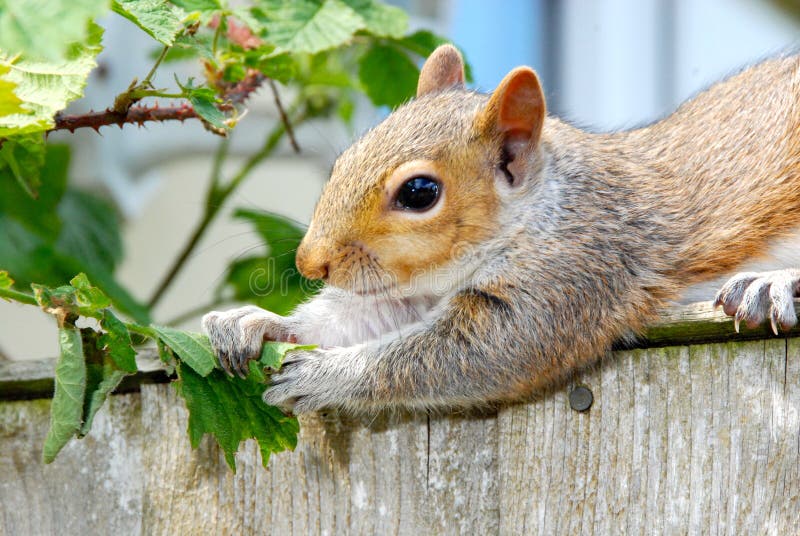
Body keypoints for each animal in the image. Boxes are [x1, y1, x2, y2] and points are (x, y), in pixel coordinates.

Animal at [203, 45, 800, 414]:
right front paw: (256, 322)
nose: (310, 263)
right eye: (343, 159)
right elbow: (356, 319)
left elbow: (475, 353)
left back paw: (770, 284)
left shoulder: (575, 272)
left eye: (419, 192)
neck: (538, 207)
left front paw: (324, 376)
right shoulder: (411, 293)